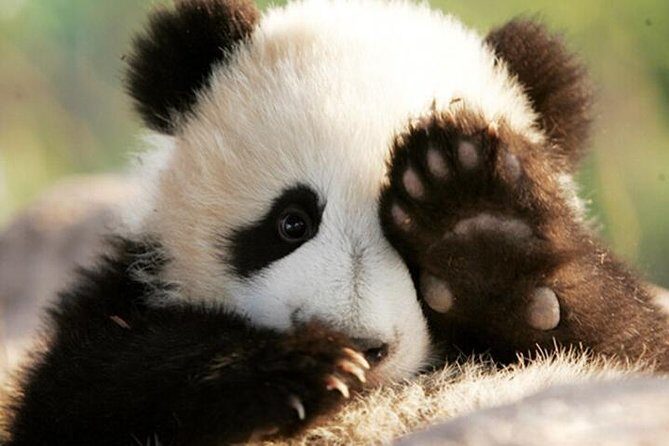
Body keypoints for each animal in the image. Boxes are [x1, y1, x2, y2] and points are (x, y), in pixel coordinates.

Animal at [5, 0, 669, 444]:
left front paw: (478, 231)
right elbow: (85, 393)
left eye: (409, 249)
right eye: (292, 223)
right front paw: (298, 368)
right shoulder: (131, 290)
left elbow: (630, 340)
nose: (359, 344)